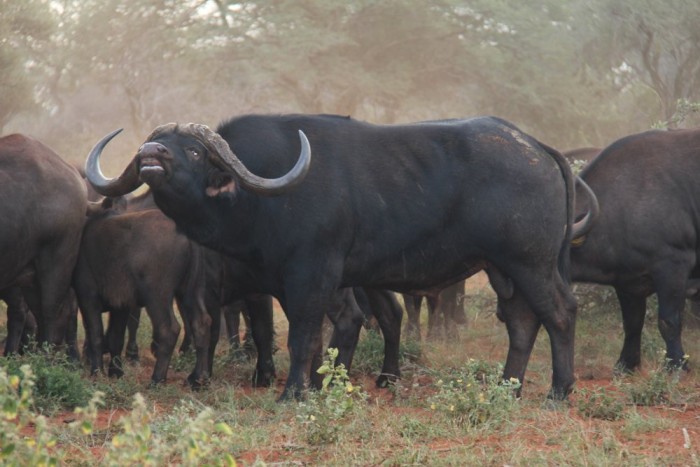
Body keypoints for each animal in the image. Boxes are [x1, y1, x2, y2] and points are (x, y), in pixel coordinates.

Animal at [85, 114, 596, 400]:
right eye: (156, 142)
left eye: (192, 150)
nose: (150, 154)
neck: (262, 196)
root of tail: (536, 149)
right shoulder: (293, 283)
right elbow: (318, 336)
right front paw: (314, 384)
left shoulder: (311, 274)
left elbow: (302, 337)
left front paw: (293, 393)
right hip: (501, 269)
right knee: (521, 322)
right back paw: (508, 387)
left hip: (531, 263)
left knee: (560, 313)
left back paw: (558, 390)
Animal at [570, 128, 700, 373]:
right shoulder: (627, 282)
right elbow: (632, 323)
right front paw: (626, 363)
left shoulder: (674, 266)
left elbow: (668, 321)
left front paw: (676, 364)